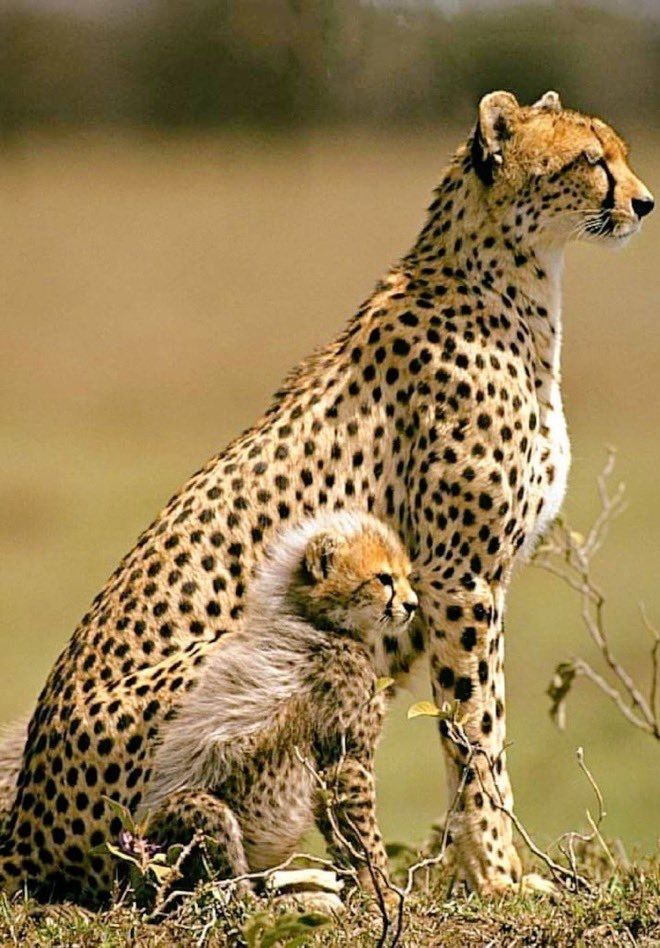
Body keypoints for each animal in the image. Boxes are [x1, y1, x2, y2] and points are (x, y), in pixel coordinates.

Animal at [140, 510, 419, 901]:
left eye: (406, 577)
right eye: (384, 579)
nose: (412, 605)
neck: (318, 621)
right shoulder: (345, 761)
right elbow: (363, 837)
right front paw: (381, 893)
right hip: (195, 811)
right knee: (227, 894)